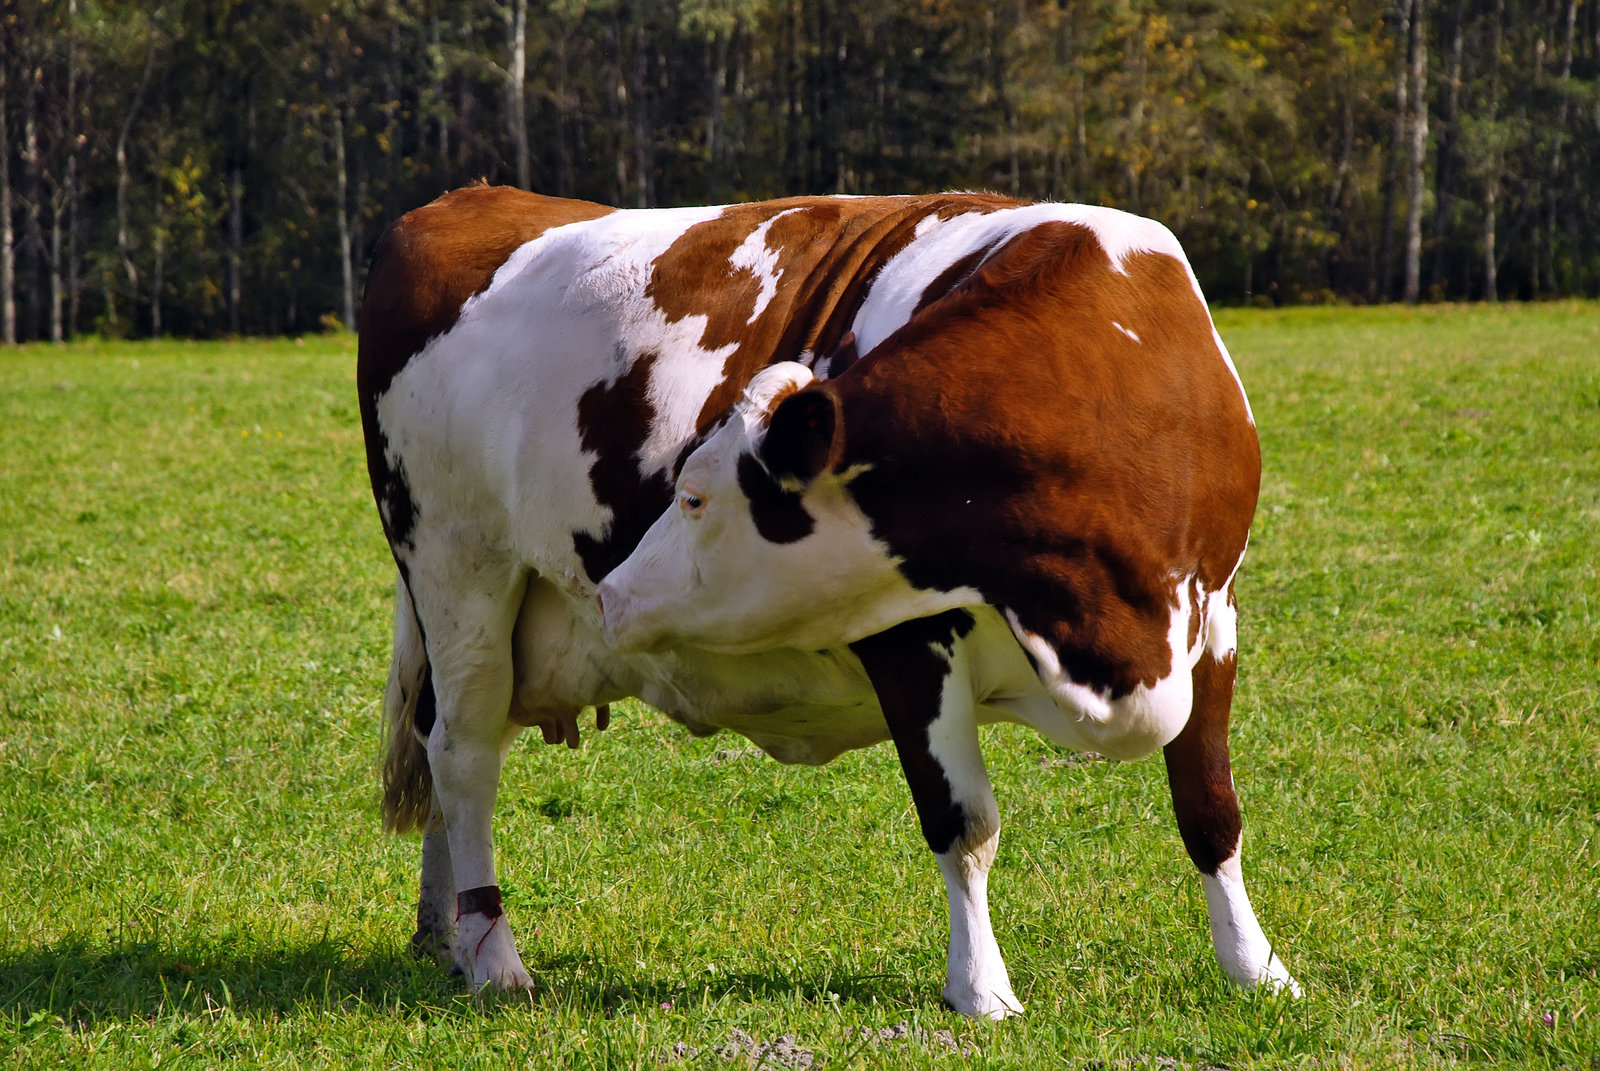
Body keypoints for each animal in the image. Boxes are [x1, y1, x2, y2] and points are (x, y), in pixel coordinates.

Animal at [357, 184, 1300, 1019]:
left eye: (692, 496)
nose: (614, 592)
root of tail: (468, 200)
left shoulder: (1212, 617)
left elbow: (1210, 809)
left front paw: (1257, 968)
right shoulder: (911, 636)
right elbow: (964, 822)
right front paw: (981, 989)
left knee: (441, 748)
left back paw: (444, 933)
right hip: (458, 571)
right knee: (463, 755)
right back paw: (493, 954)